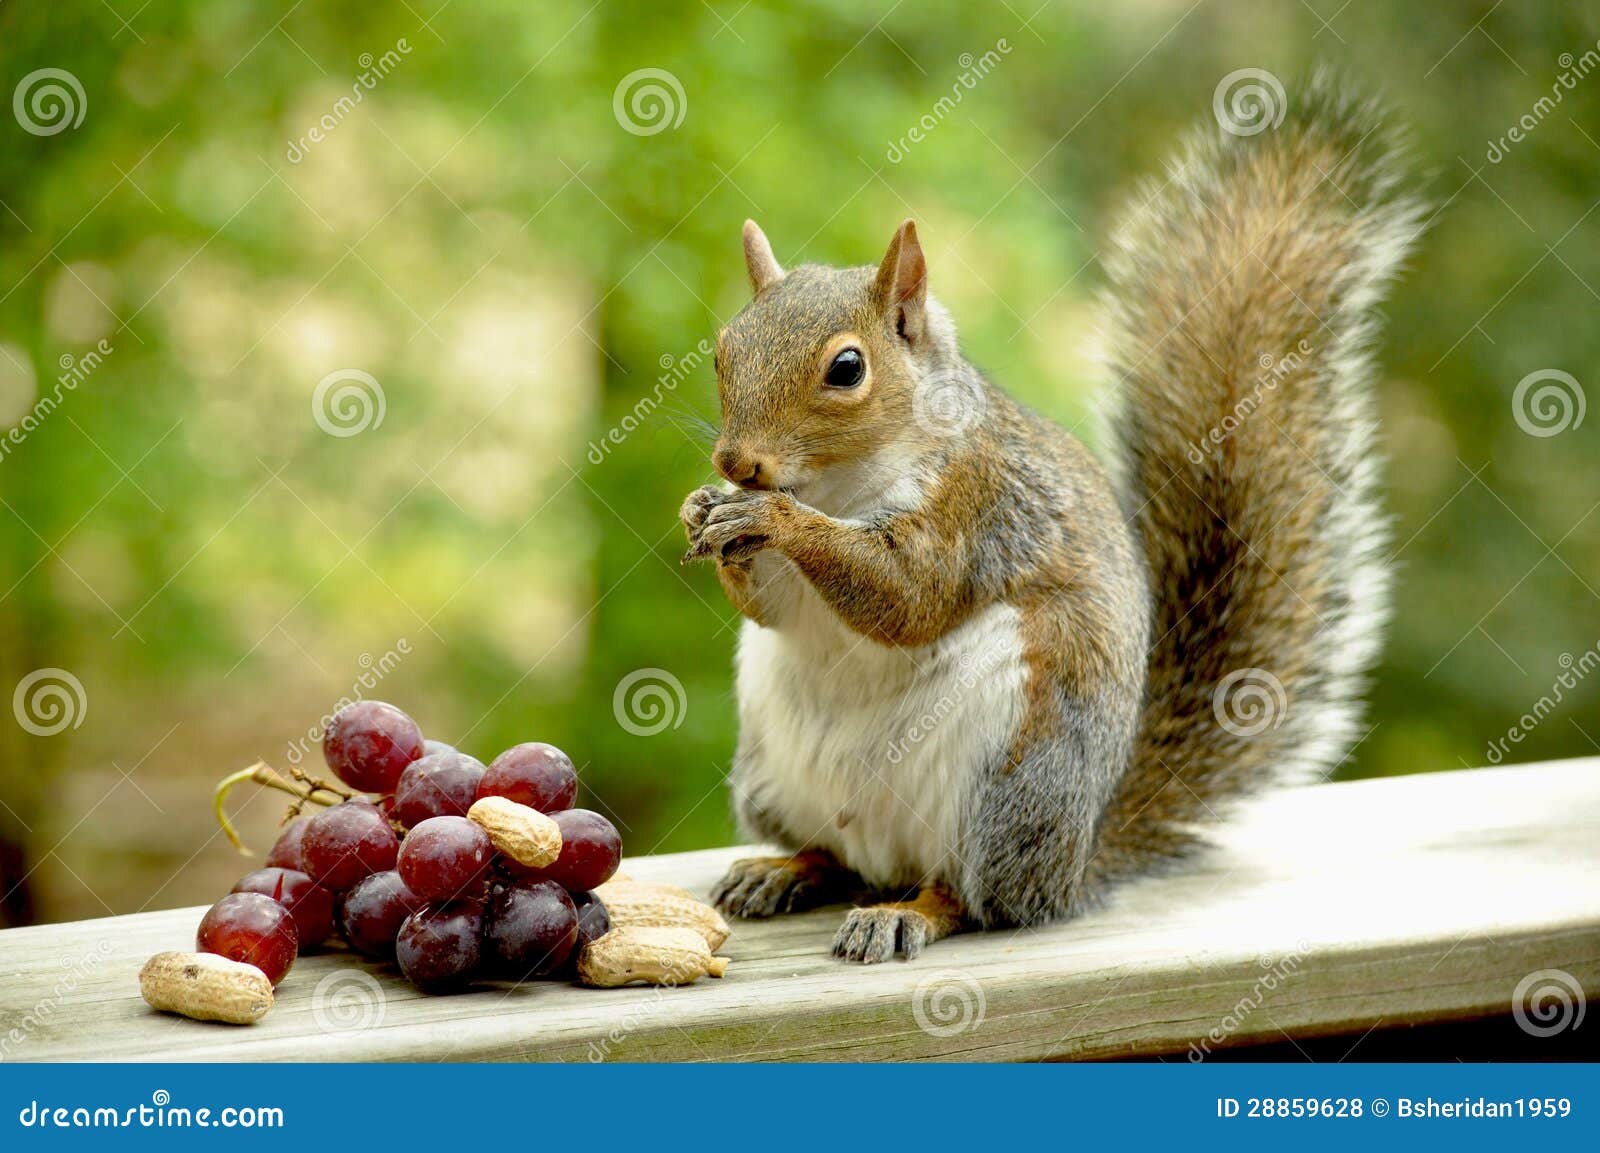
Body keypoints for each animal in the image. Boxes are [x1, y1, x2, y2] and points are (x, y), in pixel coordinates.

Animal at [680, 77, 1424, 963]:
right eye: (722, 350)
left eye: (847, 368)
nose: (735, 463)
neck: (836, 485)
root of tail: (1076, 860)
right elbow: (777, 608)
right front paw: (702, 511)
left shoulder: (977, 503)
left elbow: (908, 596)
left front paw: (776, 518)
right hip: (773, 766)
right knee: (837, 855)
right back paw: (785, 868)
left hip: (1013, 775)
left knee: (973, 896)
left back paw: (907, 912)